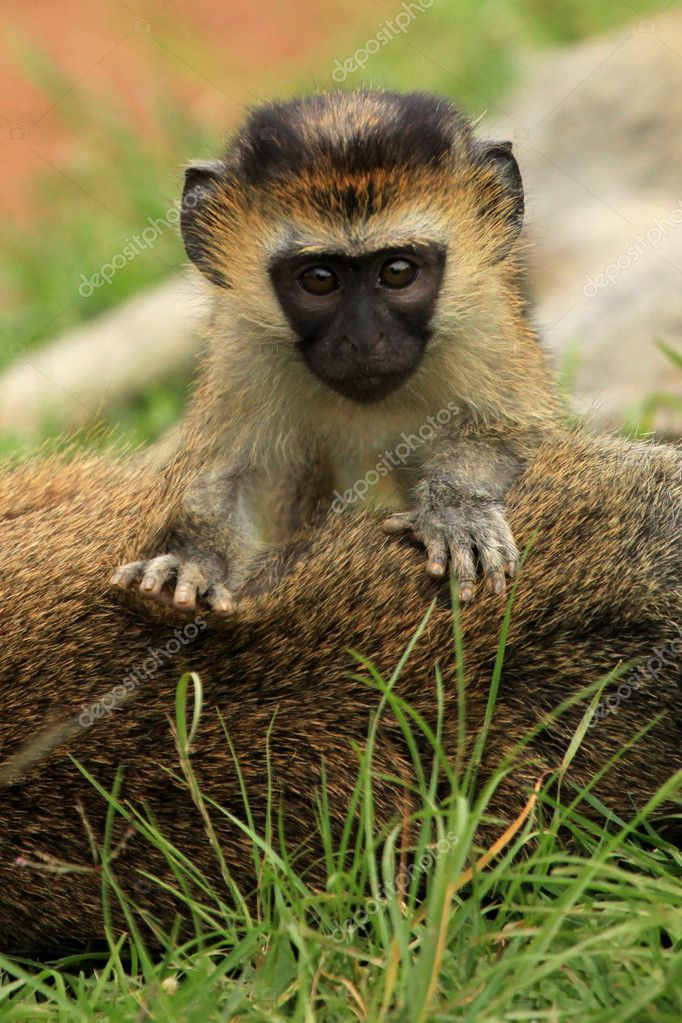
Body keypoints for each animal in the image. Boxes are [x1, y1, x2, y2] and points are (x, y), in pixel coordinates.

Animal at [110, 90, 563, 615]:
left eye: (398, 271)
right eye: (320, 279)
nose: (363, 339)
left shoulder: (487, 324)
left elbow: (516, 429)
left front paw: (455, 507)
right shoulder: (242, 345)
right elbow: (230, 475)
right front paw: (197, 560)